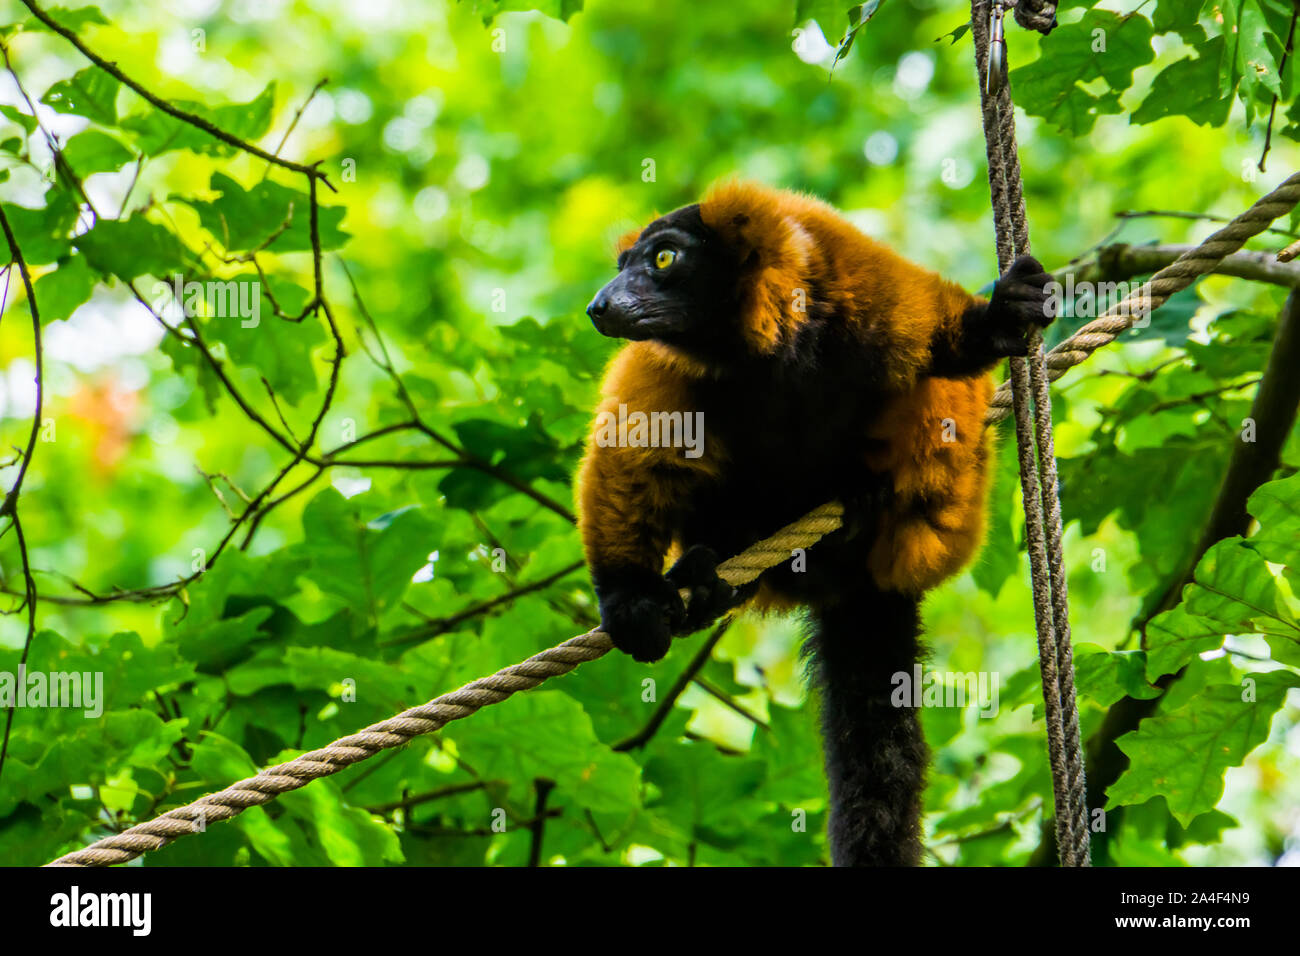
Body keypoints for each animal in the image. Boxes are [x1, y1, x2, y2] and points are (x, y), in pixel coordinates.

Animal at [575, 181, 1053, 866]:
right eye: (624, 266)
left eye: (664, 259)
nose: (600, 304)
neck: (761, 344)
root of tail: (864, 581)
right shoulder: (671, 359)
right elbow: (636, 453)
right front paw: (630, 598)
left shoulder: (849, 282)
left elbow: (938, 339)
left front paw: (999, 318)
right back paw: (708, 573)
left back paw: (865, 499)